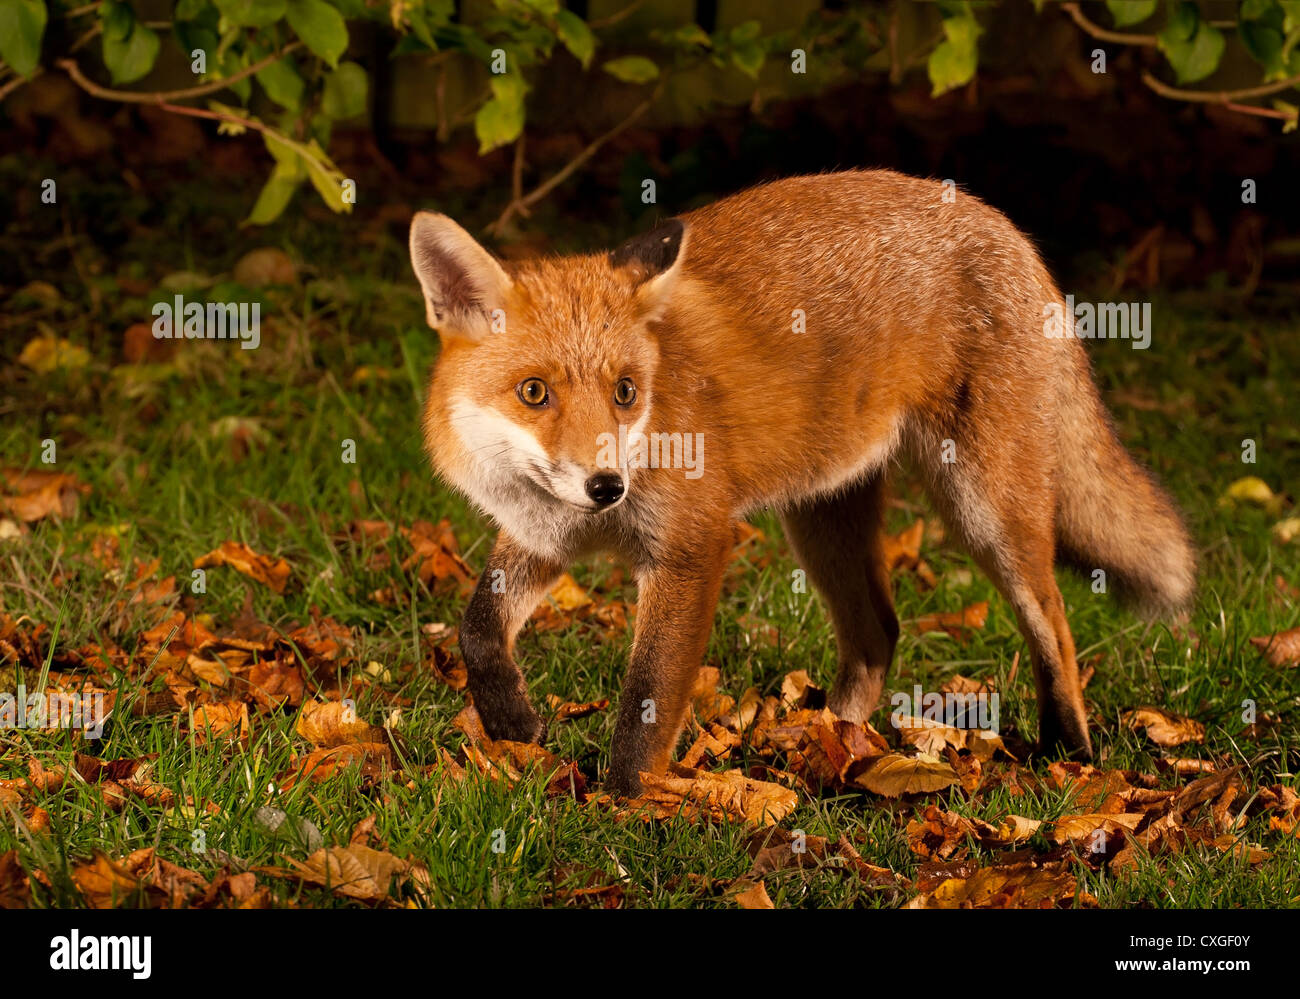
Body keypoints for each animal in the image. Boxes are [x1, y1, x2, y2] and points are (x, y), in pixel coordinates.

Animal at [408, 170, 1196, 797]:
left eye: (625, 392)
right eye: (534, 393)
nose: (608, 486)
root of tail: (996, 219)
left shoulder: (691, 547)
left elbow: (646, 702)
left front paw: (624, 806)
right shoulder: (544, 533)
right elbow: (478, 629)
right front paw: (511, 722)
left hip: (985, 509)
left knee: (1054, 622)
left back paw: (1069, 754)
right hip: (821, 519)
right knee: (879, 634)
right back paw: (828, 747)